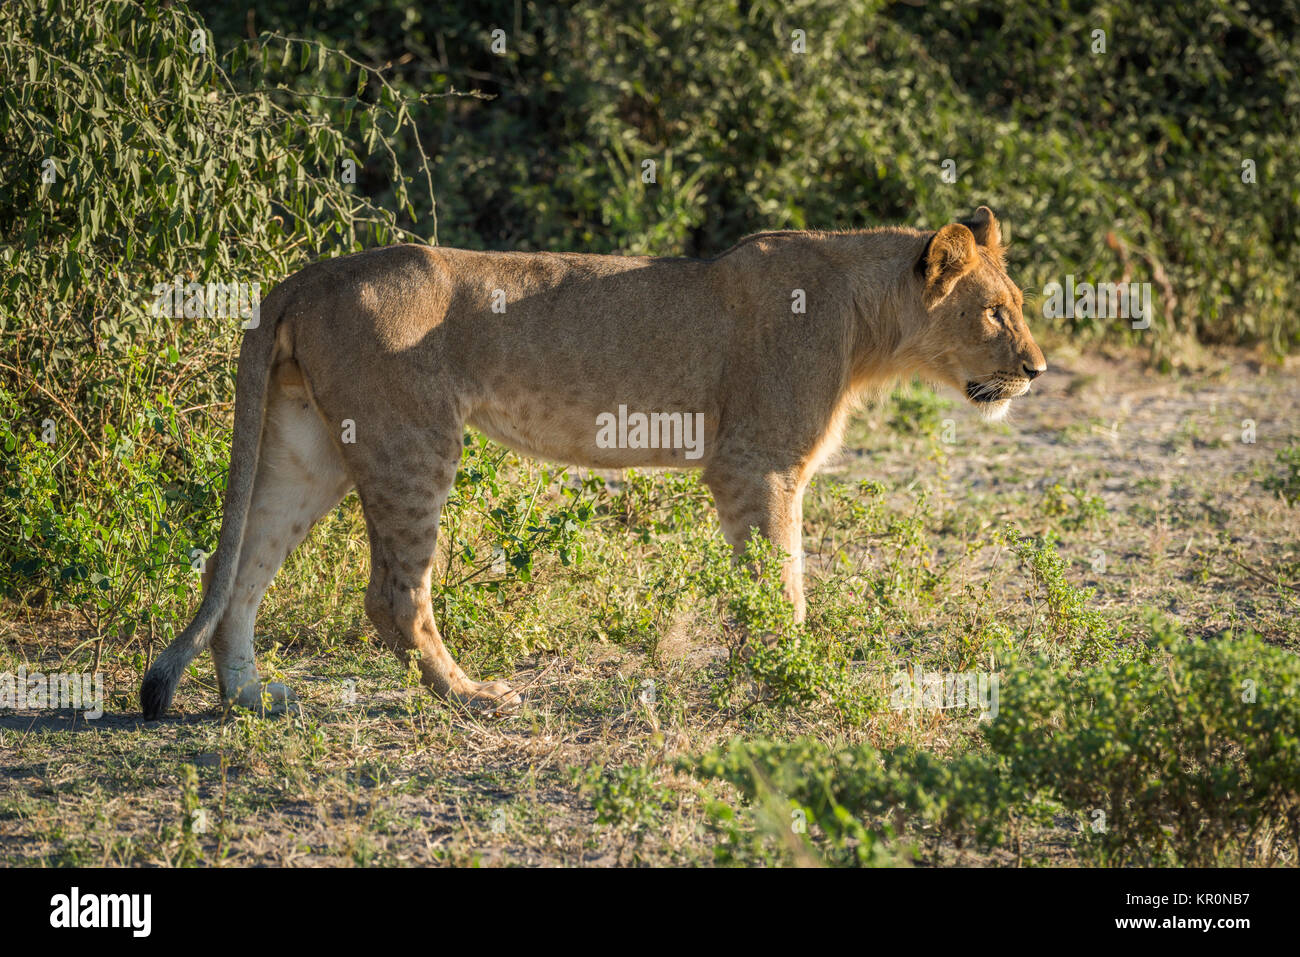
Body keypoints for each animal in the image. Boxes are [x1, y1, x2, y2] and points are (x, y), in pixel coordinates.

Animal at [140, 206, 1045, 718]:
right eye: (996, 313)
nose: (1037, 370)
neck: (866, 320)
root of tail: (300, 278)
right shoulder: (757, 463)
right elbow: (782, 583)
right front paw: (791, 675)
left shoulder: (749, 472)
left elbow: (761, 580)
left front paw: (761, 668)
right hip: (413, 440)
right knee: (392, 595)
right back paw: (471, 697)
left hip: (310, 446)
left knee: (239, 568)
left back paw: (252, 697)